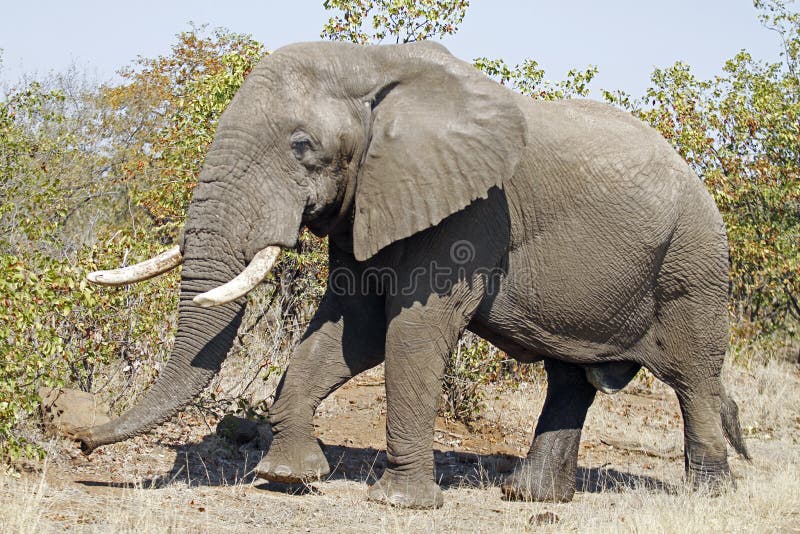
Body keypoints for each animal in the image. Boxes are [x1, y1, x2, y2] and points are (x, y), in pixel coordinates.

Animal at [75, 40, 750, 509]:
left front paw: (399, 503)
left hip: (694, 261)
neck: (370, 66)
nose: (78, 437)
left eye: (301, 146)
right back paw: (529, 498)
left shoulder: (471, 211)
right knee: (569, 379)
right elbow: (349, 330)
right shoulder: (368, 199)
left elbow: (412, 333)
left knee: (692, 378)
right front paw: (285, 478)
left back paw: (707, 497)